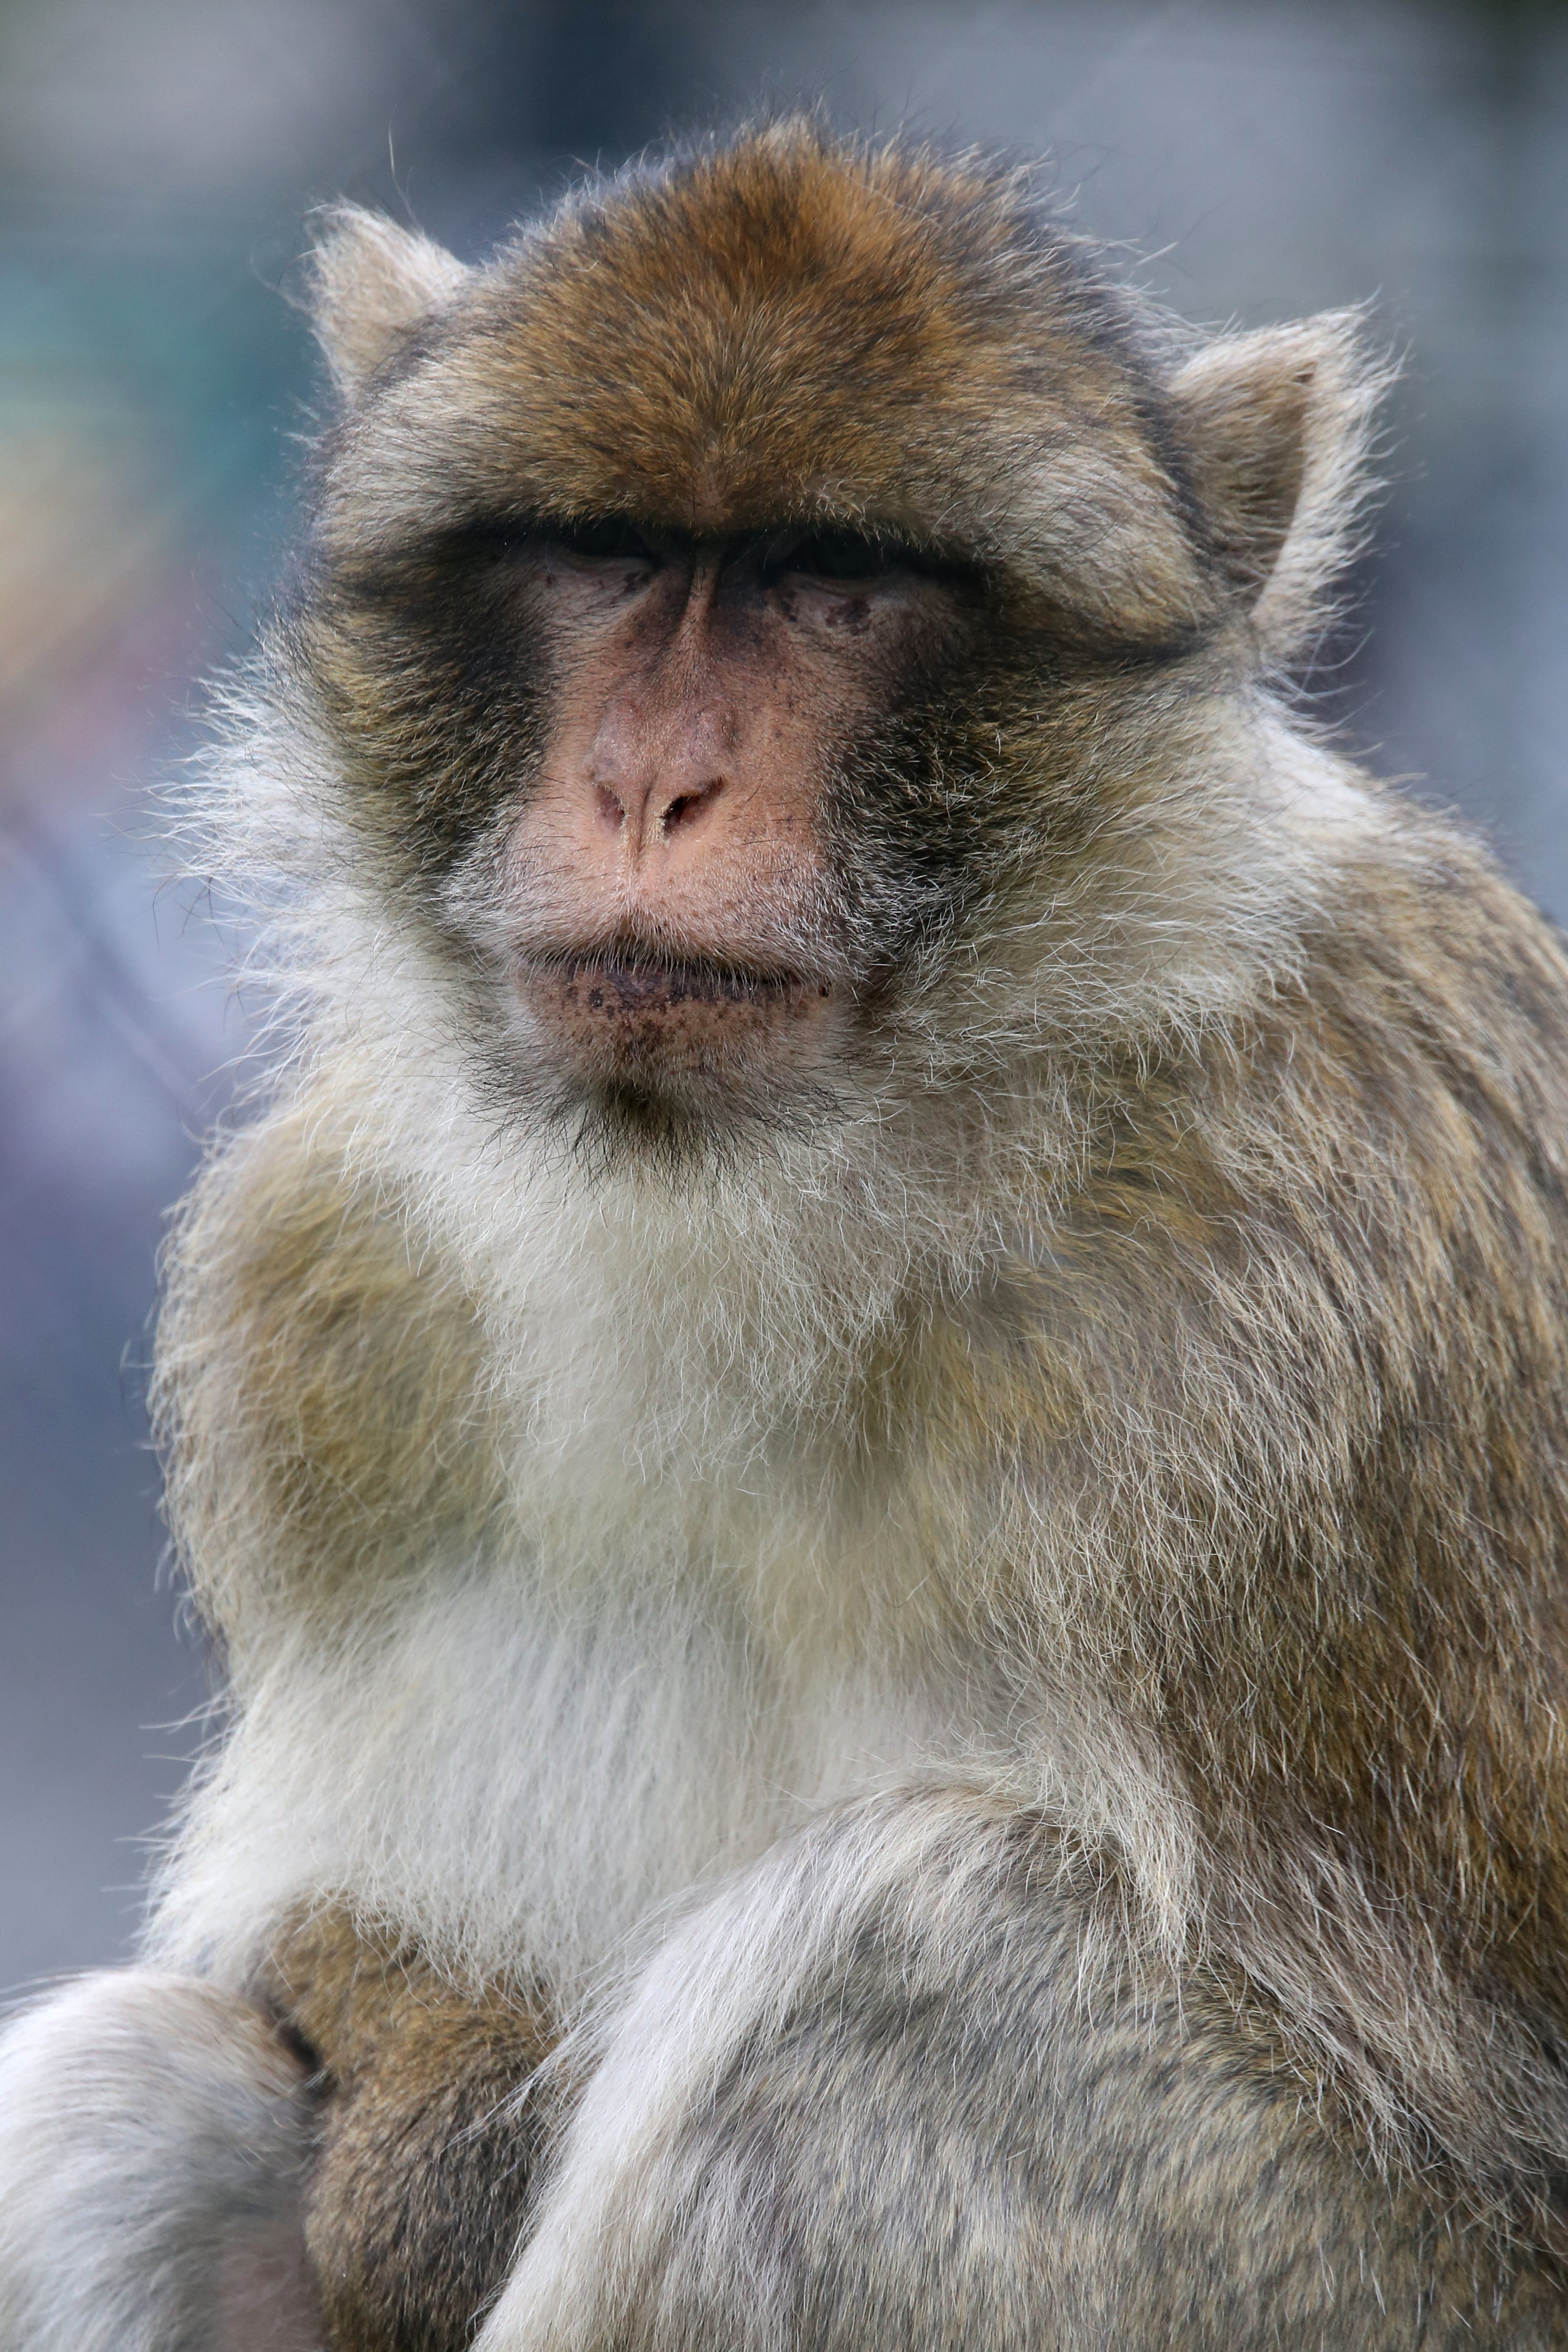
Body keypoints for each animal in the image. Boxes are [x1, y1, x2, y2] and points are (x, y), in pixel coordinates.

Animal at [4, 112, 1568, 2349]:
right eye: (600, 557)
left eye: (840, 586)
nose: (655, 784)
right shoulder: (323, 1300)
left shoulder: (1303, 1260)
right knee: (129, 2096)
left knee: (901, 1984)